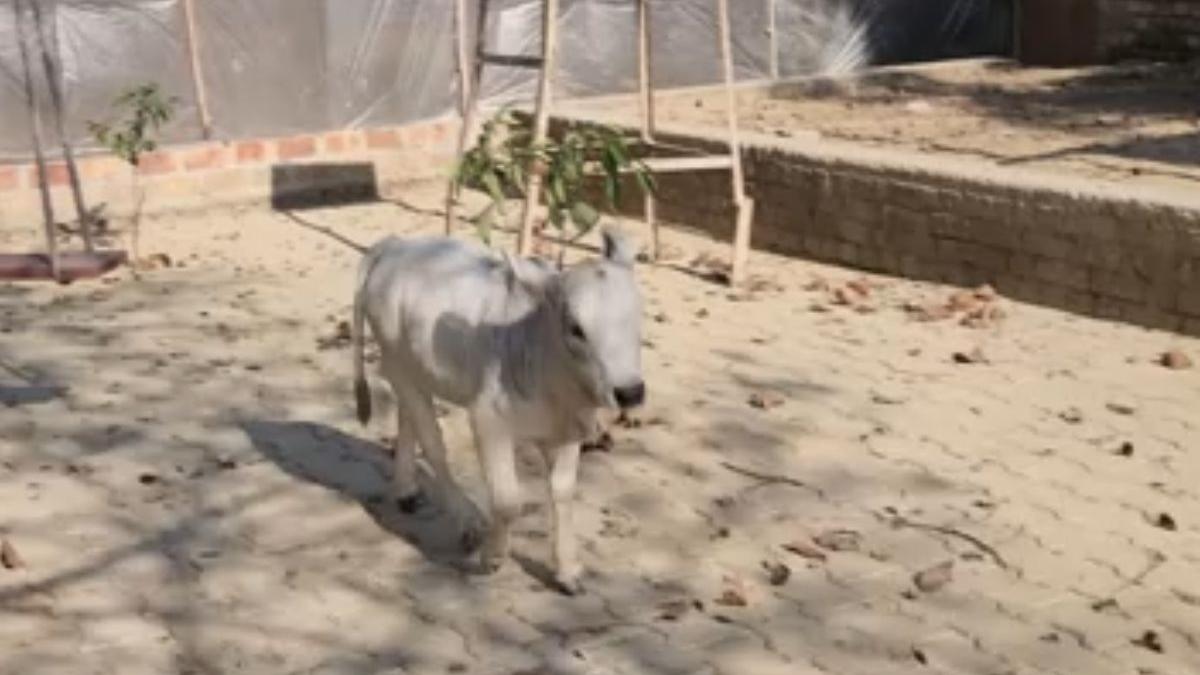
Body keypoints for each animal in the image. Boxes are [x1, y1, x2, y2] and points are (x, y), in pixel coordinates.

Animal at [351, 227, 645, 593]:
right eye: (576, 328)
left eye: (636, 314)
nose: (630, 392)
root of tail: (393, 245)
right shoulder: (488, 420)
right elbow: (507, 501)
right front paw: (493, 556)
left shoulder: (568, 431)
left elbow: (562, 492)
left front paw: (568, 570)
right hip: (395, 361)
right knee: (432, 442)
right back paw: (468, 521)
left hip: (414, 367)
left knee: (409, 419)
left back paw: (406, 490)